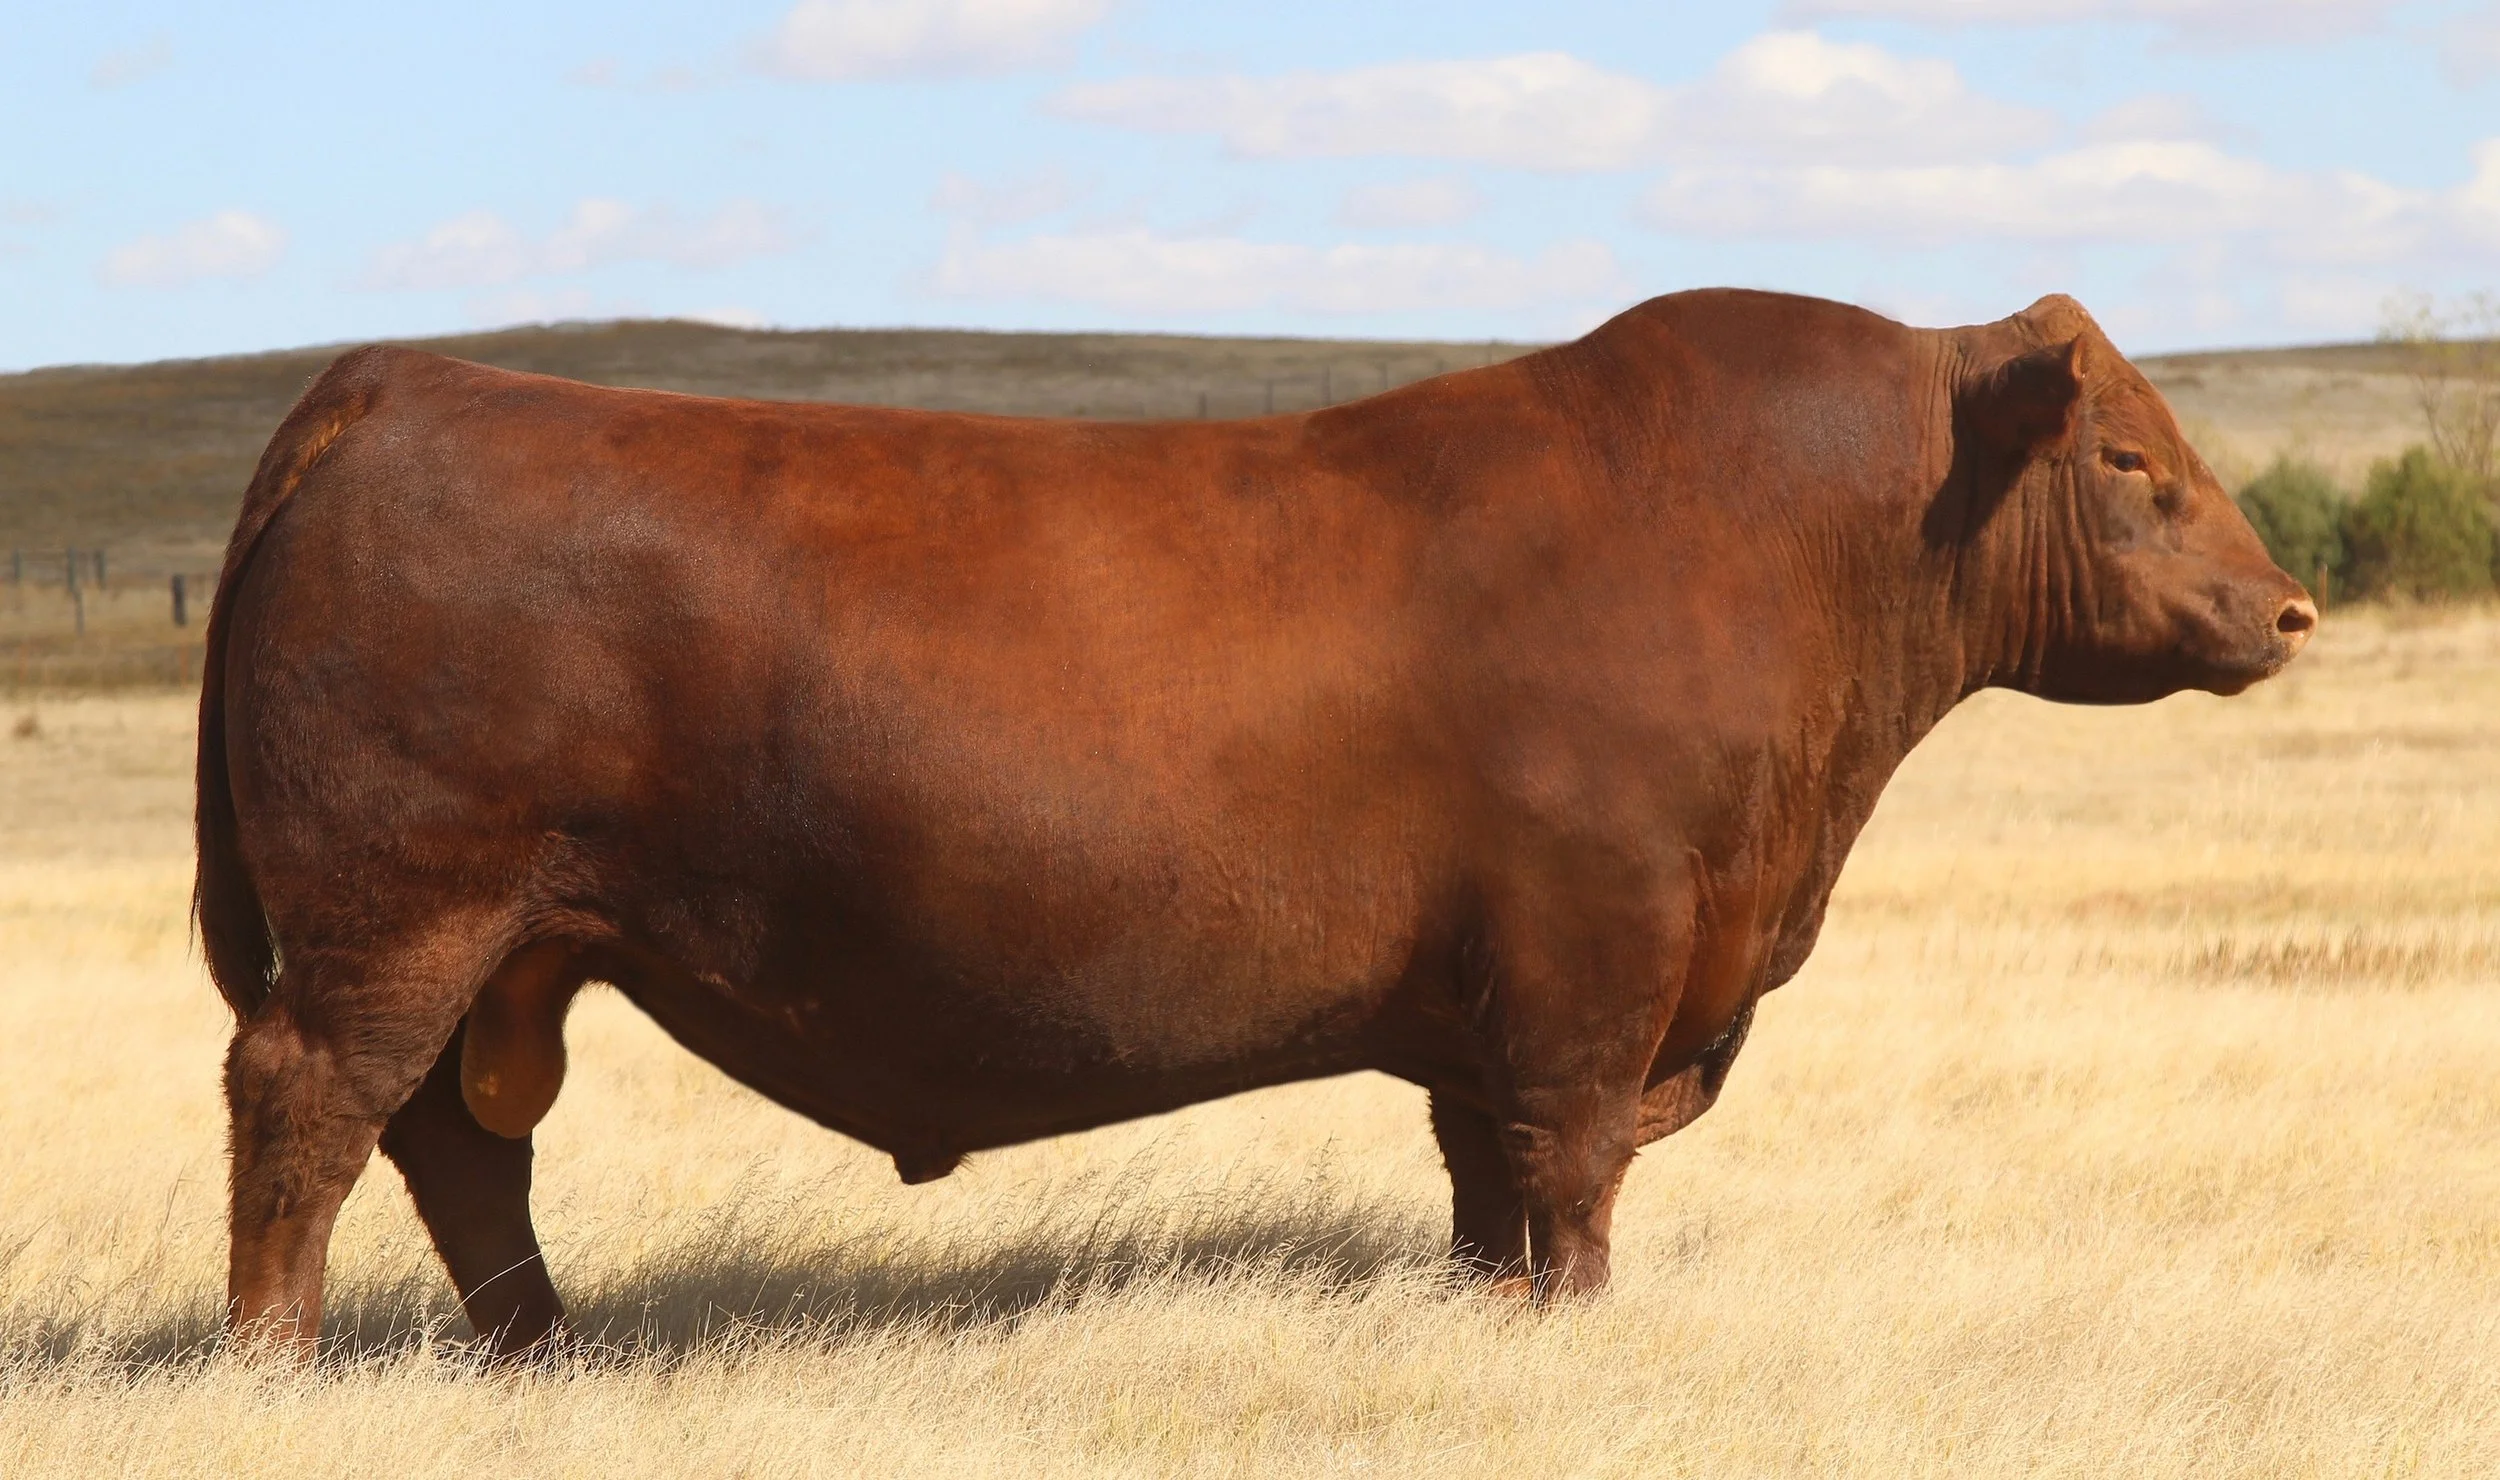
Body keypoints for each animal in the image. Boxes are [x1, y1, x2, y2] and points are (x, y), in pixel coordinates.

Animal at [196, 289, 2314, 1358]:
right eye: (2133, 463)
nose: (2292, 609)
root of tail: (407, 381)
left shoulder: (1500, 1005)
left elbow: (1484, 1181)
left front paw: (1486, 1319)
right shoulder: (1597, 966)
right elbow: (1572, 1172)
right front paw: (1574, 1338)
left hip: (500, 951)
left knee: (460, 1152)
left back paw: (541, 1346)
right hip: (402, 919)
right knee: (312, 1108)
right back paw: (278, 1360)